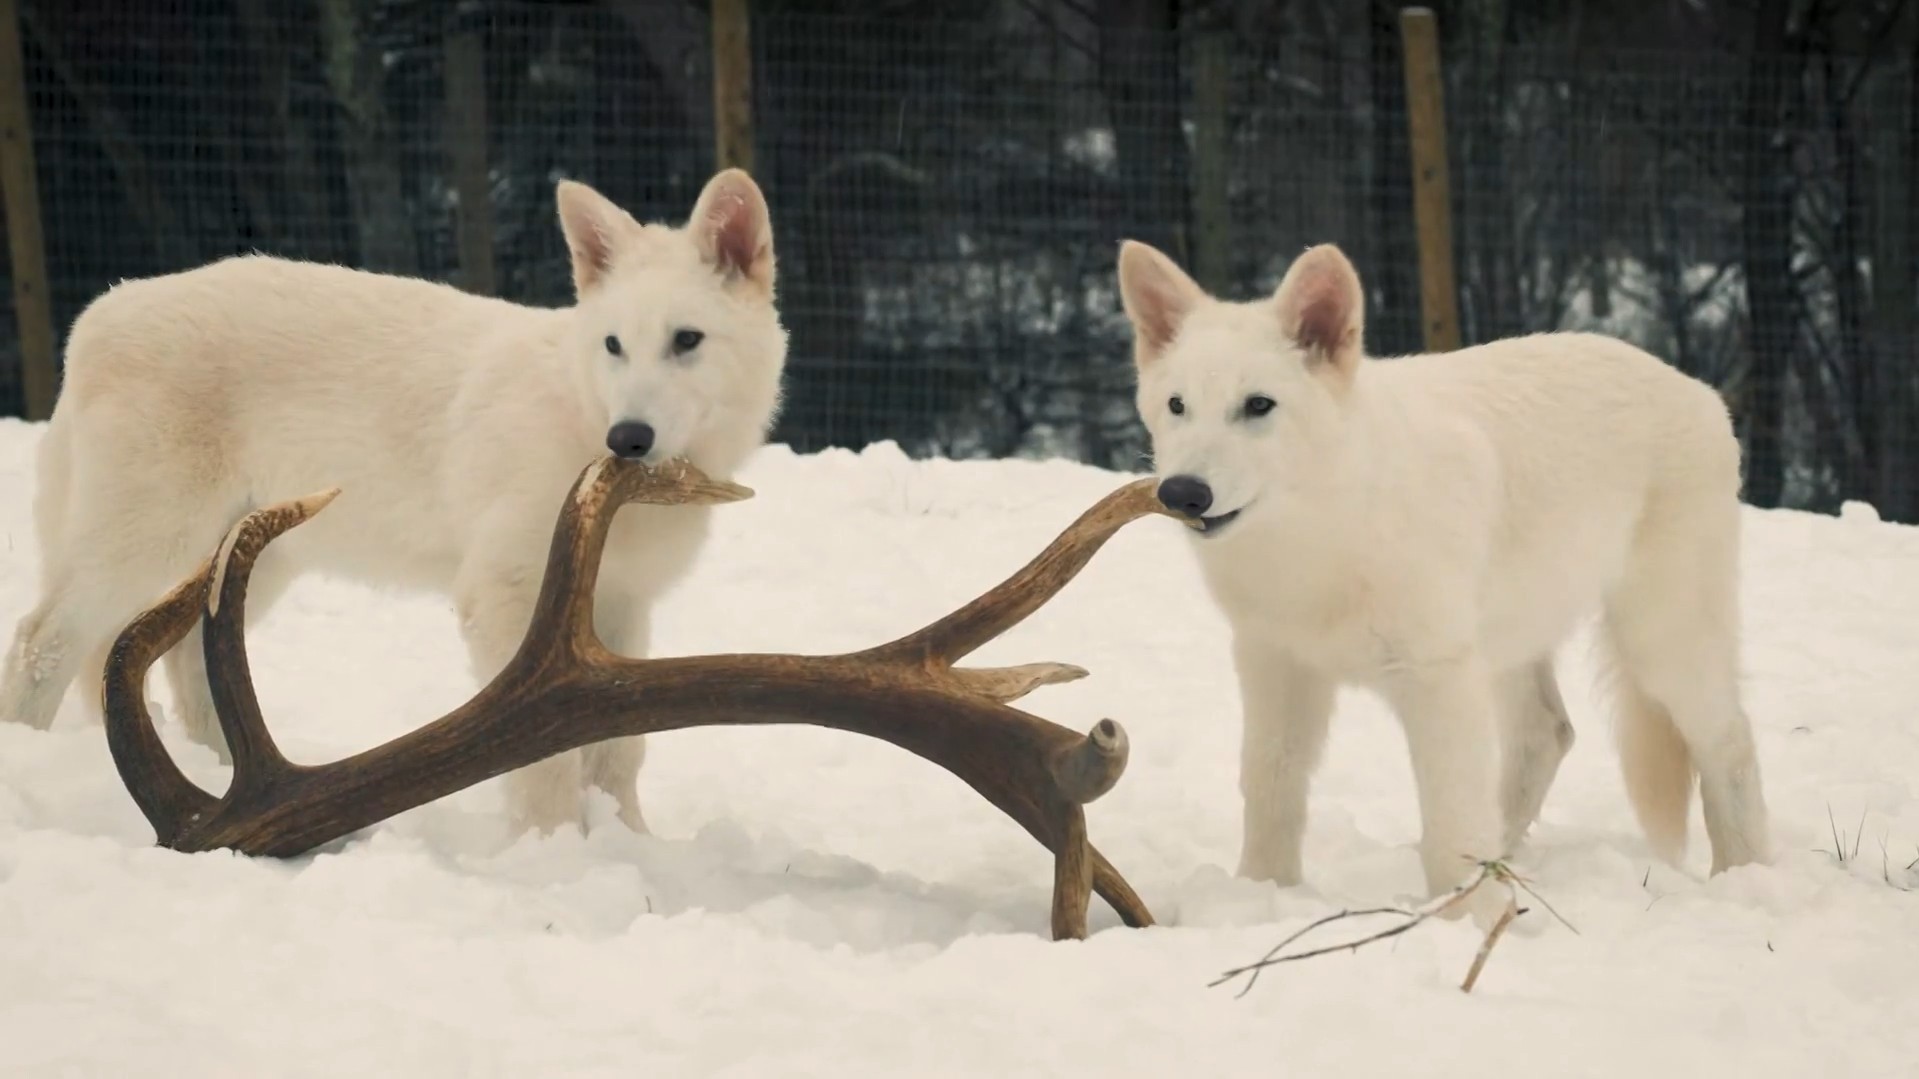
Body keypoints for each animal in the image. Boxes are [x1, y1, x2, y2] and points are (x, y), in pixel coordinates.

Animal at [0, 168, 788, 838]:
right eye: (614, 345)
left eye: (687, 340)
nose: (626, 437)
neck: (576, 406)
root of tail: (99, 311)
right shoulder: (509, 598)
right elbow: (547, 759)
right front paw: (554, 850)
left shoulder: (621, 607)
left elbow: (620, 750)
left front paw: (631, 846)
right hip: (142, 543)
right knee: (42, 641)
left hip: (254, 557)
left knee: (189, 658)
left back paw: (220, 785)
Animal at [1115, 238, 1771, 918]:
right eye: (1178, 406)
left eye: (1258, 406)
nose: (1183, 493)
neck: (1322, 538)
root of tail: (1699, 390)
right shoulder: (1276, 664)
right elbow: (1271, 784)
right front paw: (1261, 895)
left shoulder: (1436, 679)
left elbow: (1449, 818)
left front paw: (1462, 922)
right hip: (1512, 647)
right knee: (1546, 736)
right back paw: (1505, 869)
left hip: (1660, 644)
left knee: (1731, 742)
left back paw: (1745, 878)